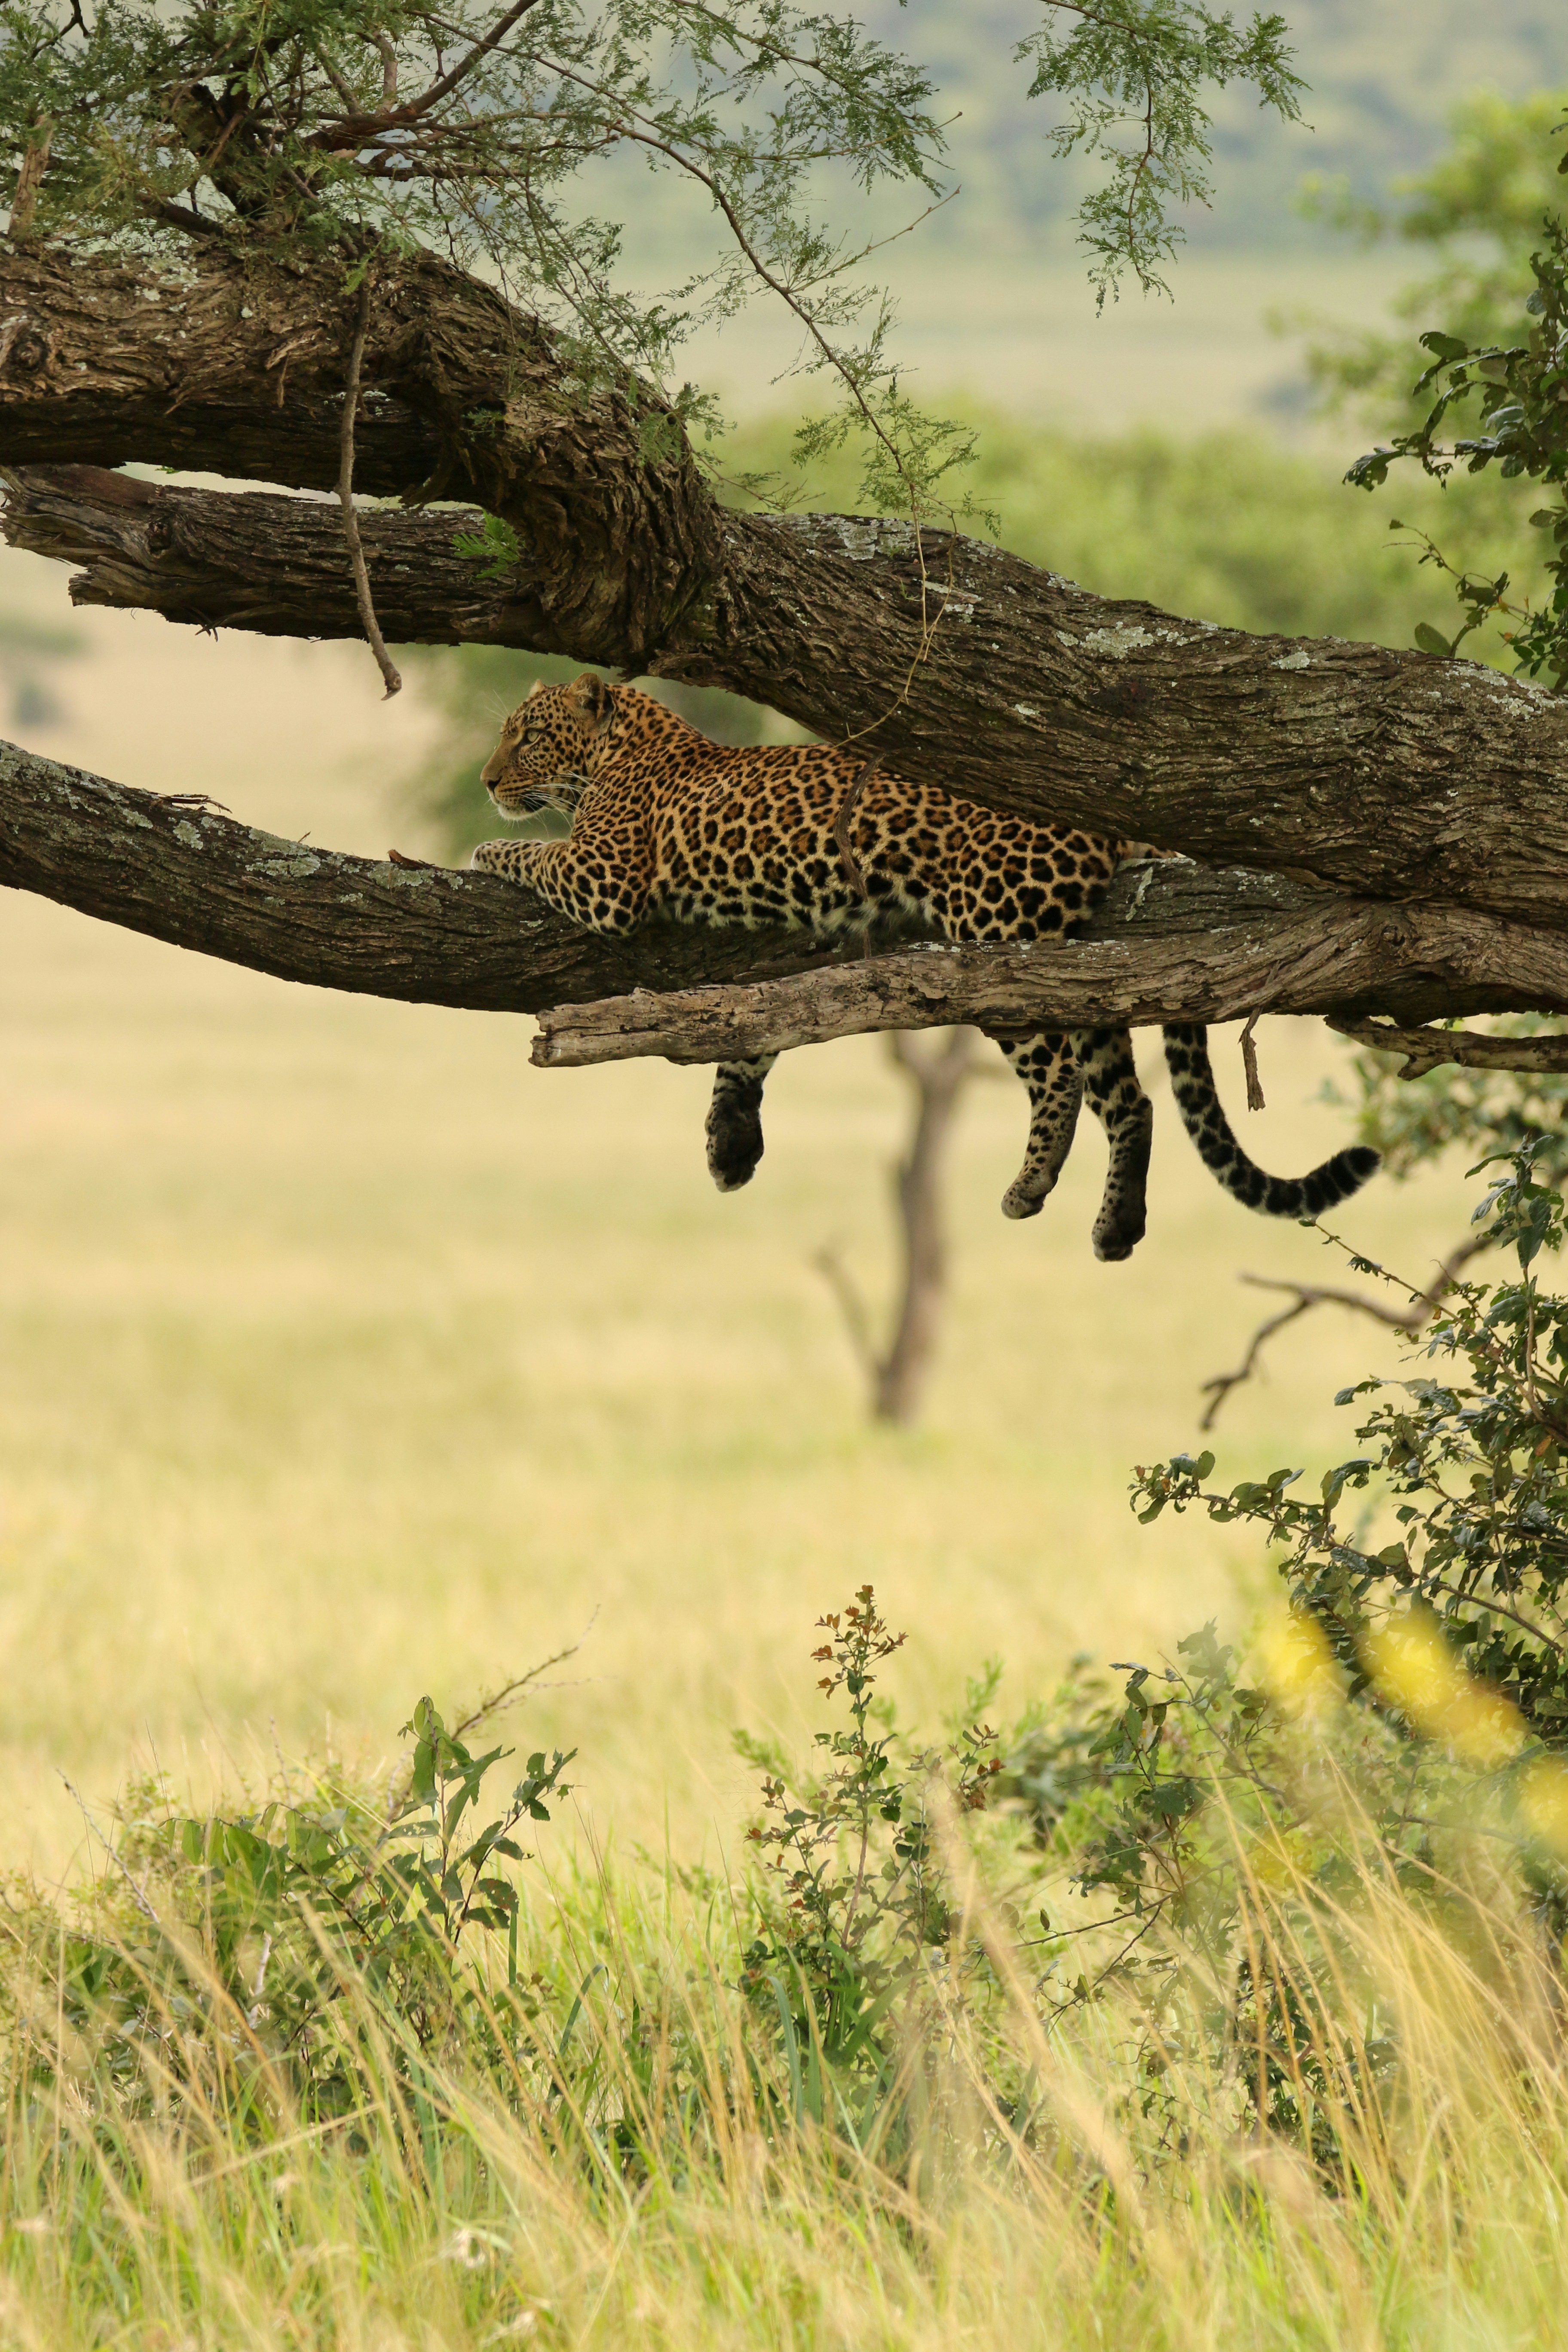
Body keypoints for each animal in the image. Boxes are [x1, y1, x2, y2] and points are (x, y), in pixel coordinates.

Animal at [472, 672, 1378, 1258]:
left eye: (527, 735)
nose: (483, 781)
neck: (627, 746)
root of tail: (1103, 817)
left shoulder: (603, 878)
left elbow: (530, 851)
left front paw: (481, 847)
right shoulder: (810, 934)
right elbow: (750, 1029)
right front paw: (731, 1142)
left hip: (998, 935)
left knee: (1059, 1076)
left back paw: (1031, 1185)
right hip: (1078, 963)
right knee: (1131, 1099)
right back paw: (1116, 1227)